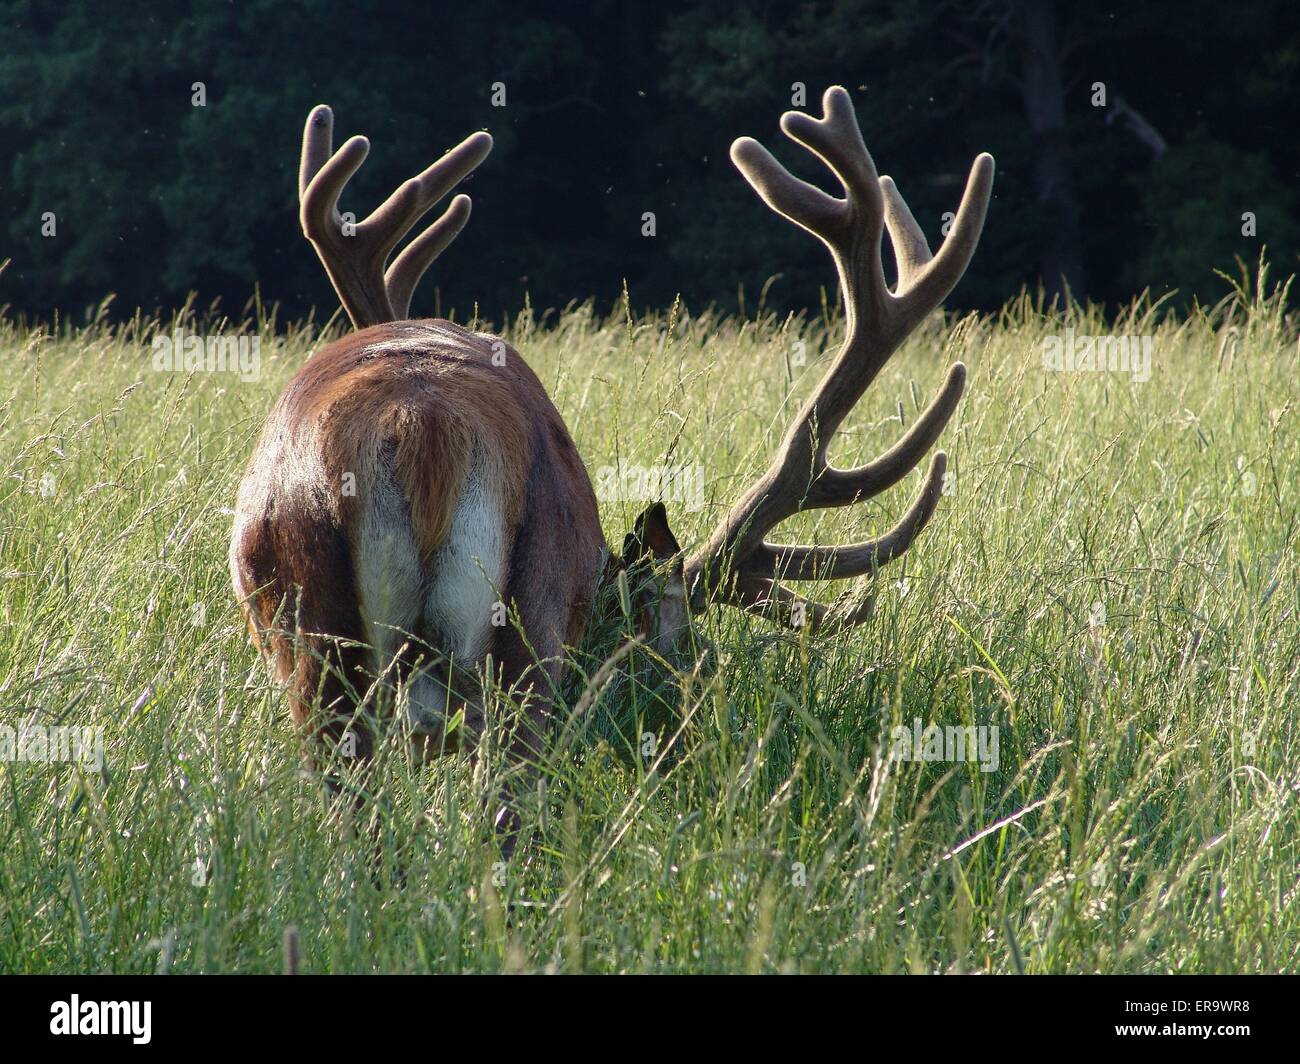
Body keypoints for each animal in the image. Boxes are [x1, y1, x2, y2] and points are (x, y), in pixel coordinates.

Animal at [229, 86, 994, 850]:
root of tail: (419, 424)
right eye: (676, 642)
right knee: (501, 808)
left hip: (308, 625)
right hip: (524, 624)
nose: (697, 726)